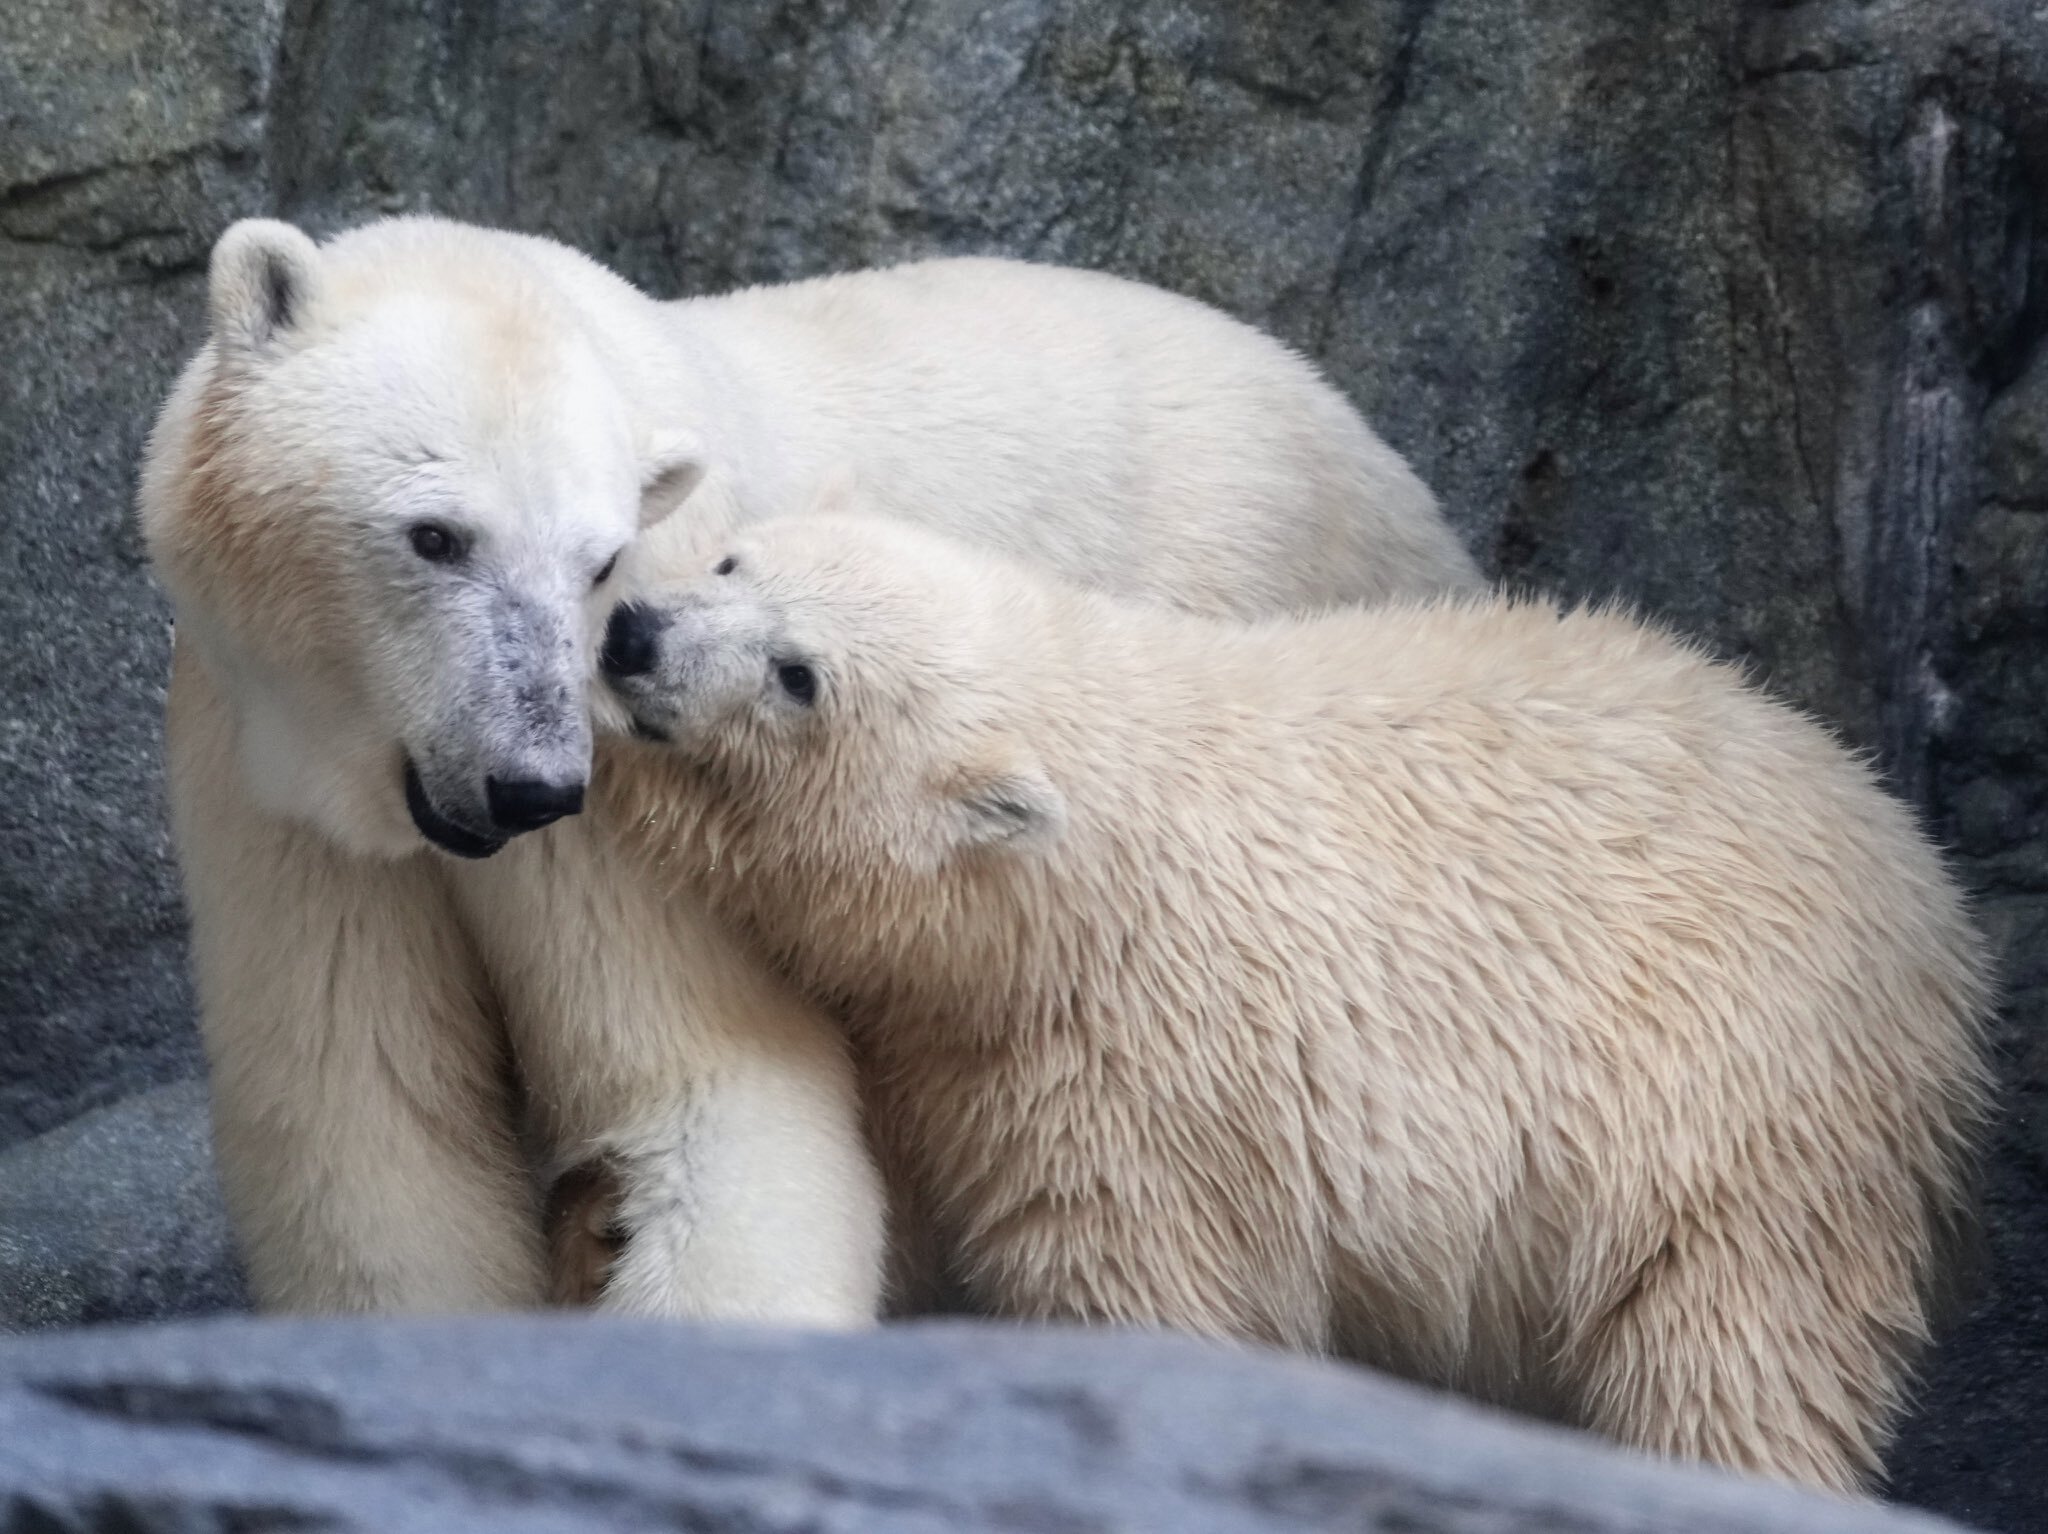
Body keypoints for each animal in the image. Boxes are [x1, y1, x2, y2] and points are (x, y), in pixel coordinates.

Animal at [139, 214, 1480, 1322]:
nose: (531, 785)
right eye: (434, 535)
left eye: (597, 560)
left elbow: (712, 1087)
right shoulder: (269, 777)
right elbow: (364, 1121)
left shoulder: (654, 784)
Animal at [595, 511, 1993, 1494]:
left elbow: (1125, 1289)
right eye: (729, 557)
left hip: (1734, 1114)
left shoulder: (1139, 1078)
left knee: (1727, 1355)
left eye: (798, 675)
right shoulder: (936, 1040)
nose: (634, 638)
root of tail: (1915, 878)